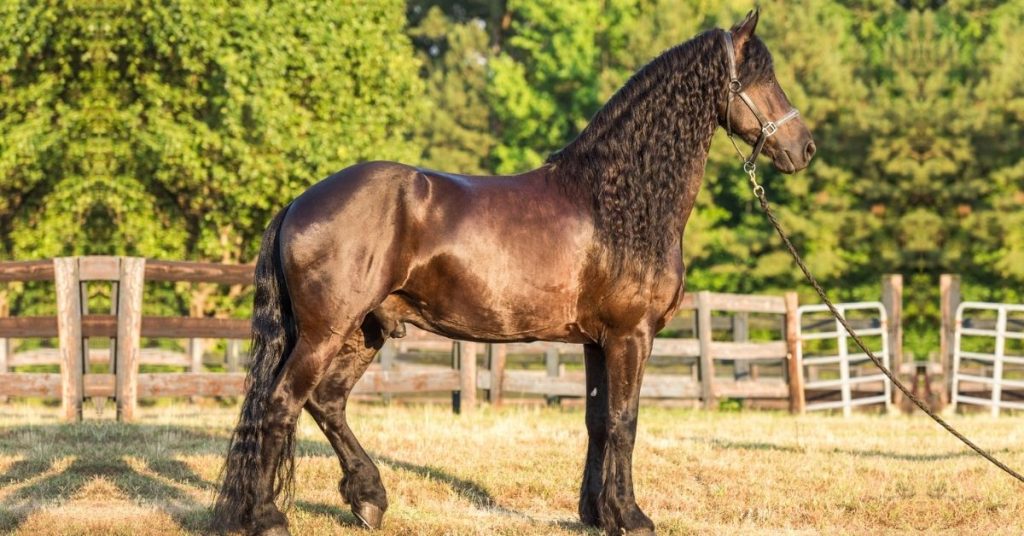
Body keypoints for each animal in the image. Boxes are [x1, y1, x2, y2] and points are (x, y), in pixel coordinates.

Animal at [213, 9, 814, 536]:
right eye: (761, 78)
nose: (804, 148)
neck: (617, 200)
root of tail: (299, 203)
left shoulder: (596, 342)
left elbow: (598, 422)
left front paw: (597, 514)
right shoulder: (631, 336)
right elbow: (625, 422)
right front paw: (633, 517)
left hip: (364, 330)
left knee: (326, 402)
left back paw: (368, 499)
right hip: (326, 331)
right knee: (281, 404)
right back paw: (267, 517)